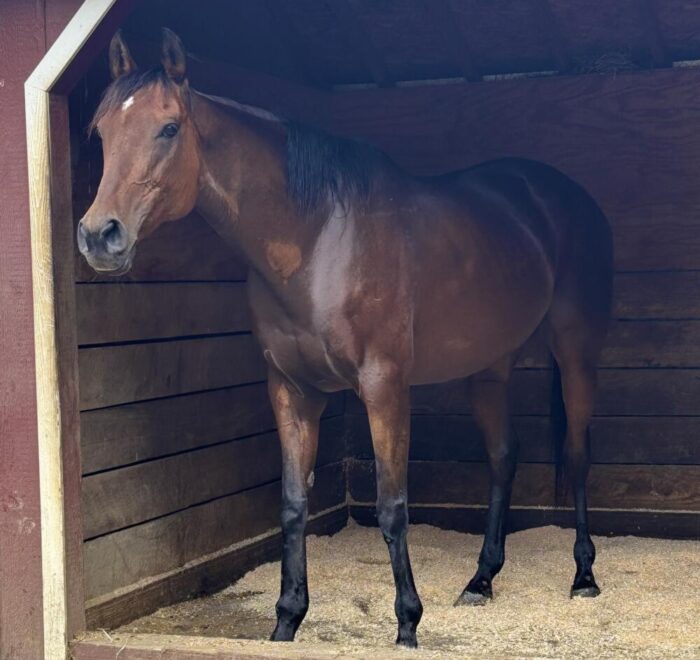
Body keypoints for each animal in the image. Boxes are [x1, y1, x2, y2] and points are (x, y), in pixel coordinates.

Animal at [78, 29, 613, 648]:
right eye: (100, 131)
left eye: (168, 128)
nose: (99, 235)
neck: (318, 240)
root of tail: (563, 196)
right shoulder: (290, 389)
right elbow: (292, 503)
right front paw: (286, 621)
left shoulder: (384, 385)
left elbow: (392, 506)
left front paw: (407, 624)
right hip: (489, 366)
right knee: (504, 457)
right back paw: (481, 580)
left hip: (575, 350)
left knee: (577, 454)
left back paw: (583, 575)